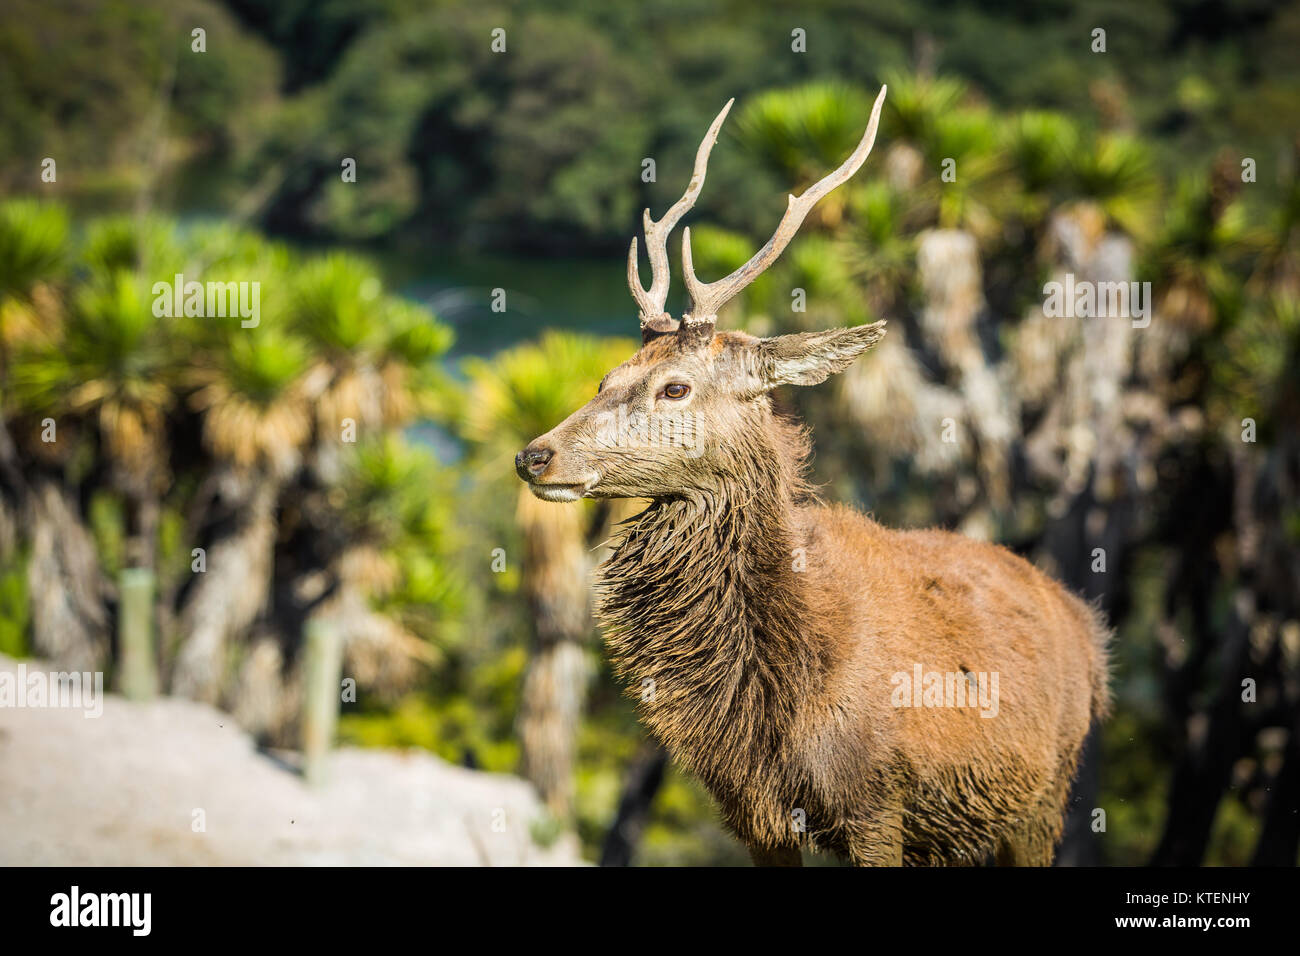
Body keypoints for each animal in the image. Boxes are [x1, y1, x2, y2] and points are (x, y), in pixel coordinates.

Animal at [514, 86, 1111, 866]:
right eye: (604, 377)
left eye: (675, 388)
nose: (534, 455)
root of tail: (1091, 639)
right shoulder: (753, 813)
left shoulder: (877, 806)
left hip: (1042, 802)